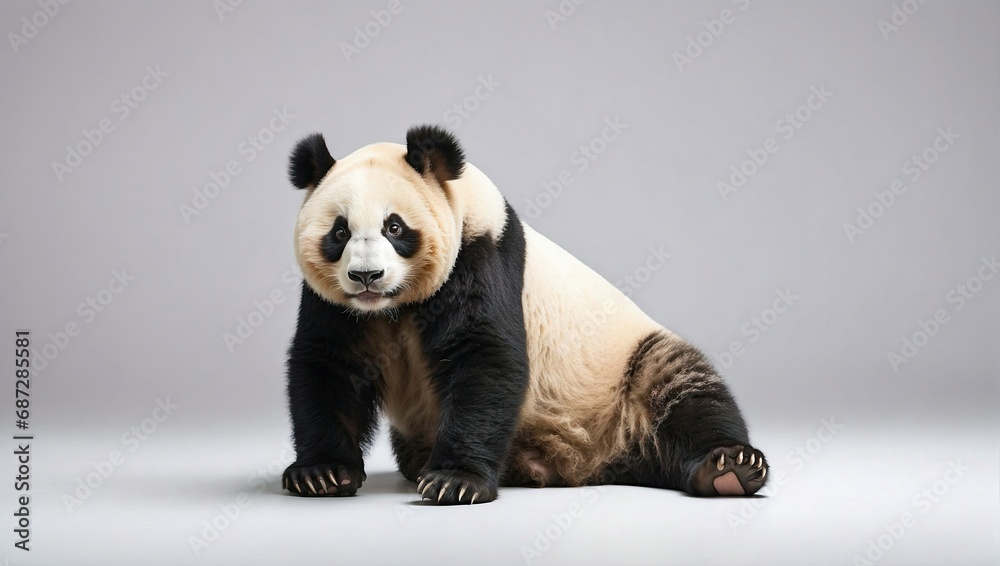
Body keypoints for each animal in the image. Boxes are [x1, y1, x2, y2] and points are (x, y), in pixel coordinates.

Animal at [281, 125, 768, 504]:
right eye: (339, 232)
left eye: (395, 227)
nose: (366, 276)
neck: (392, 306)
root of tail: (595, 463)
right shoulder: (331, 303)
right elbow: (328, 365)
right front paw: (321, 473)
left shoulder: (482, 254)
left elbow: (485, 355)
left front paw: (455, 481)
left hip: (624, 372)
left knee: (682, 386)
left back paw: (728, 468)